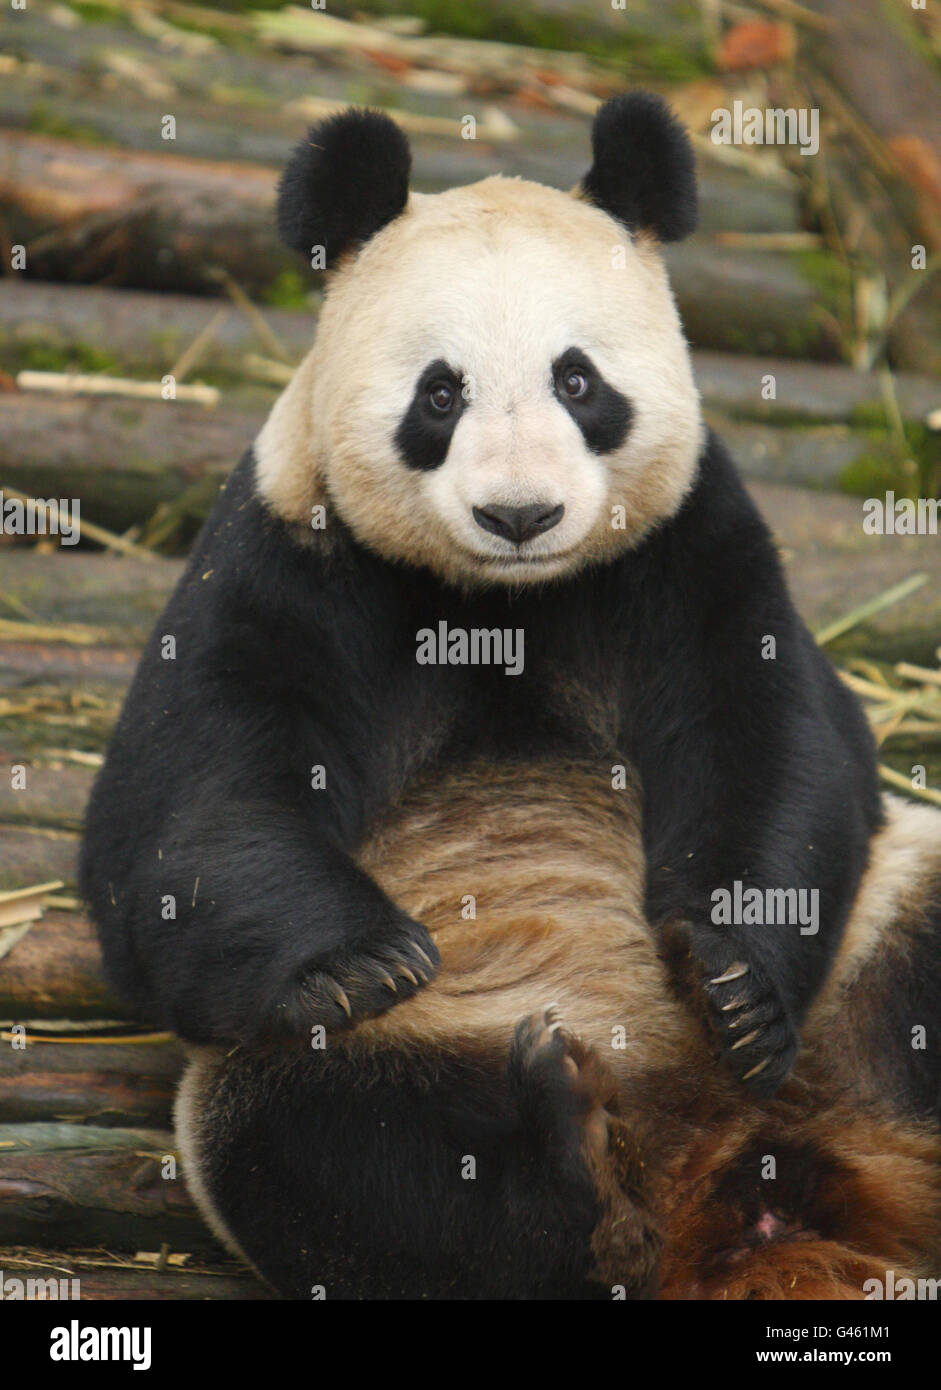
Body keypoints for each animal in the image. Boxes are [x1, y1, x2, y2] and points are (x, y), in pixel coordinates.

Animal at [79, 95, 941, 1300]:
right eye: (440, 394)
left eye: (578, 382)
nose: (520, 514)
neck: (509, 600)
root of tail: (734, 1179)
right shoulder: (289, 549)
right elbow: (179, 817)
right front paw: (358, 958)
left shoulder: (688, 544)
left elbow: (785, 745)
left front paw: (729, 978)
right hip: (369, 1062)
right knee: (334, 1153)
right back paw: (562, 1154)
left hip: (876, 952)